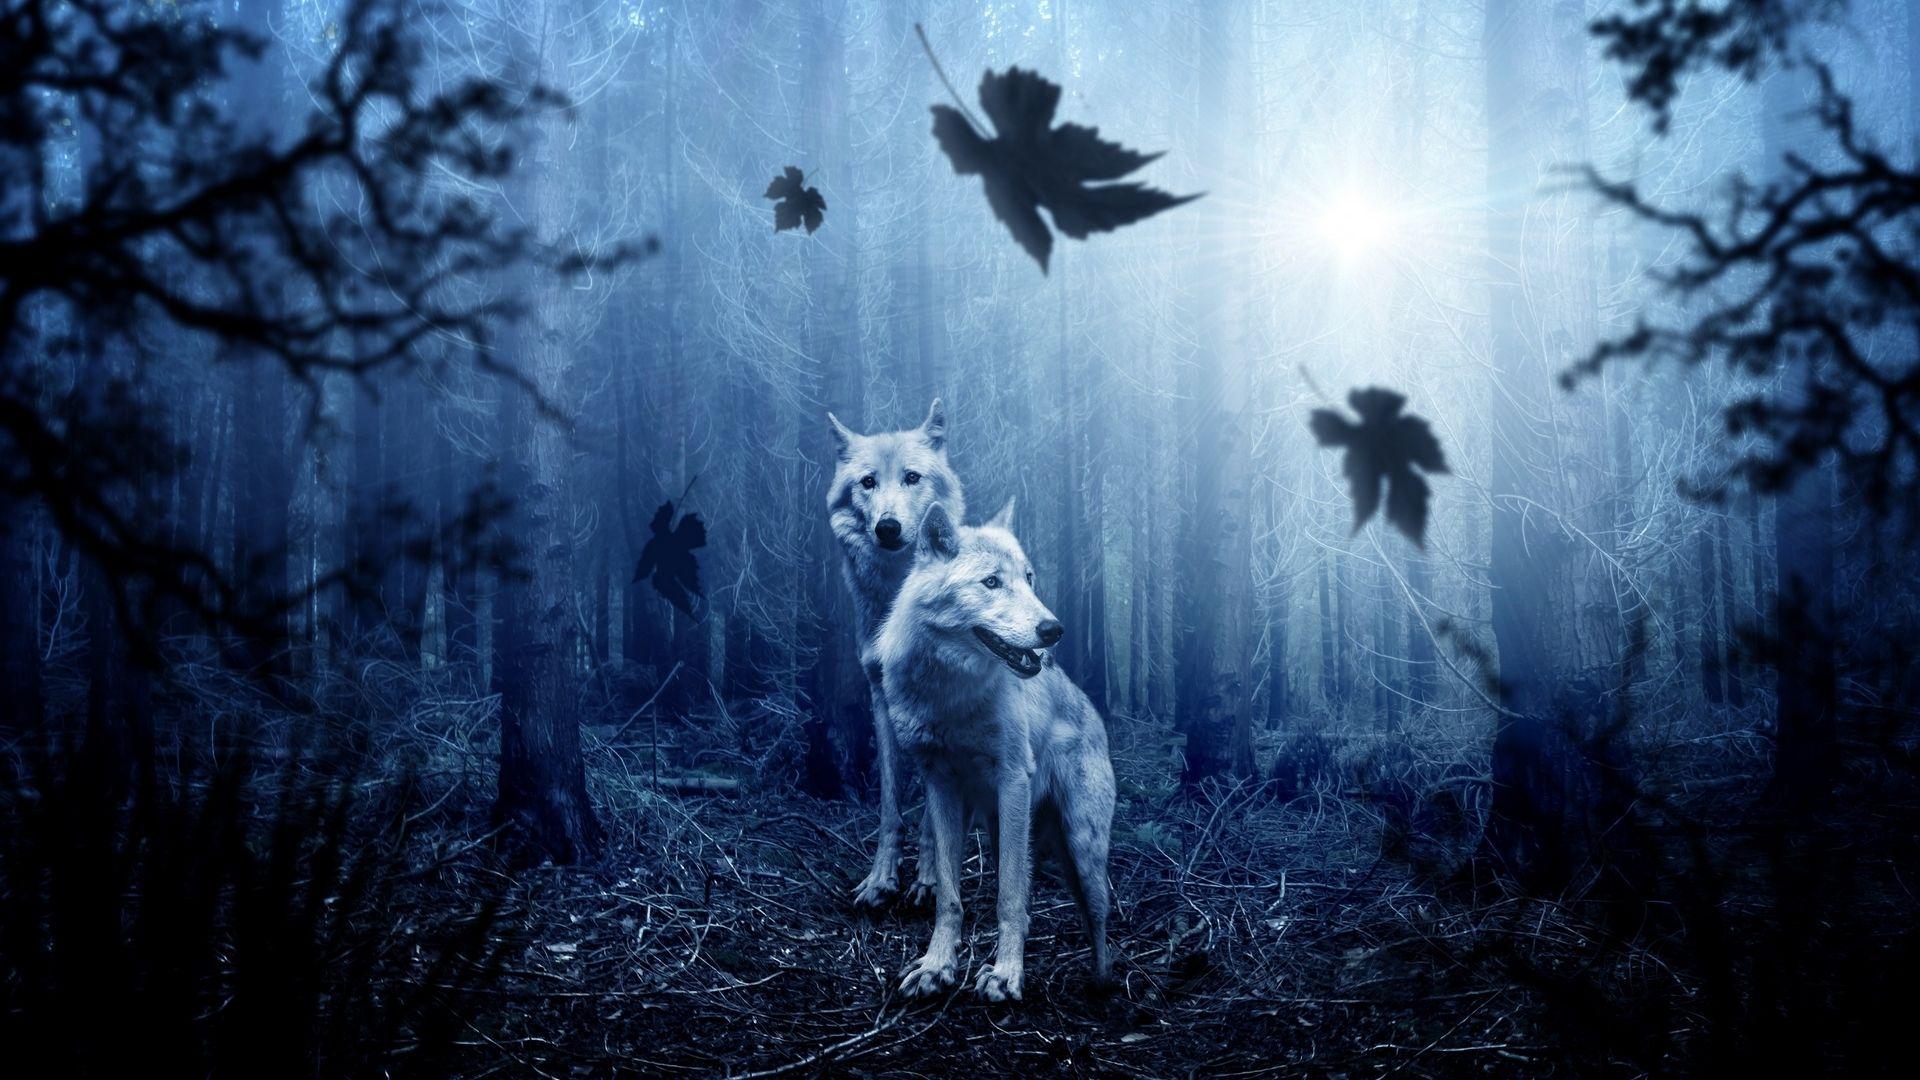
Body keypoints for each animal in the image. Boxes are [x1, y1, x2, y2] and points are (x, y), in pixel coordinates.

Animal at [827, 399, 967, 910]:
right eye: (868, 481)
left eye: (911, 477)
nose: (887, 527)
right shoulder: (881, 698)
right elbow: (890, 804)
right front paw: (880, 880)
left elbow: (933, 815)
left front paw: (929, 881)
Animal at [876, 500, 1116, 1001]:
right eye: (991, 582)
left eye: (1029, 578)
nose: (1054, 629)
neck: (950, 696)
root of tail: (1093, 712)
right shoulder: (940, 785)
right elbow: (949, 895)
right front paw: (936, 967)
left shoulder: (1012, 780)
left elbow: (1008, 896)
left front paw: (1006, 975)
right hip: (1000, 827)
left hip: (1081, 846)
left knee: (1099, 917)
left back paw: (1102, 985)